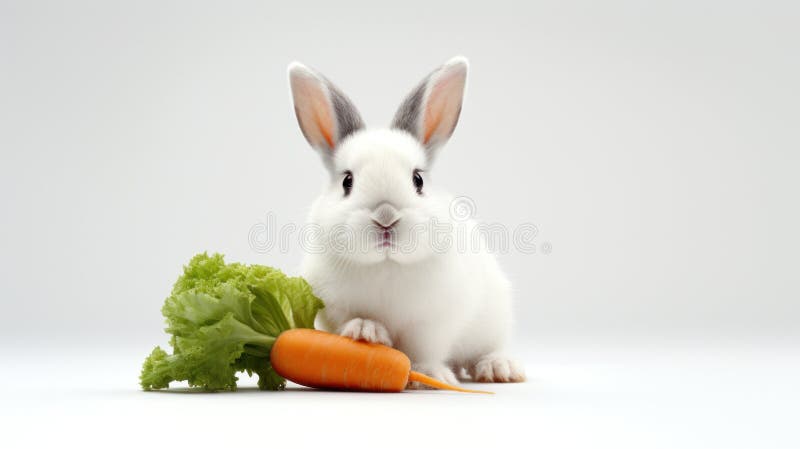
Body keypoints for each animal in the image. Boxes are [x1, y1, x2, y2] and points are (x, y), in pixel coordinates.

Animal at [287, 56, 525, 385]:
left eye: (418, 180)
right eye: (347, 181)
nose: (386, 217)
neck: (386, 265)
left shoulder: (431, 324)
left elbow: (423, 349)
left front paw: (428, 375)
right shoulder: (336, 310)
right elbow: (356, 321)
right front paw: (366, 332)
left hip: (494, 319)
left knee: (488, 349)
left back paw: (499, 369)